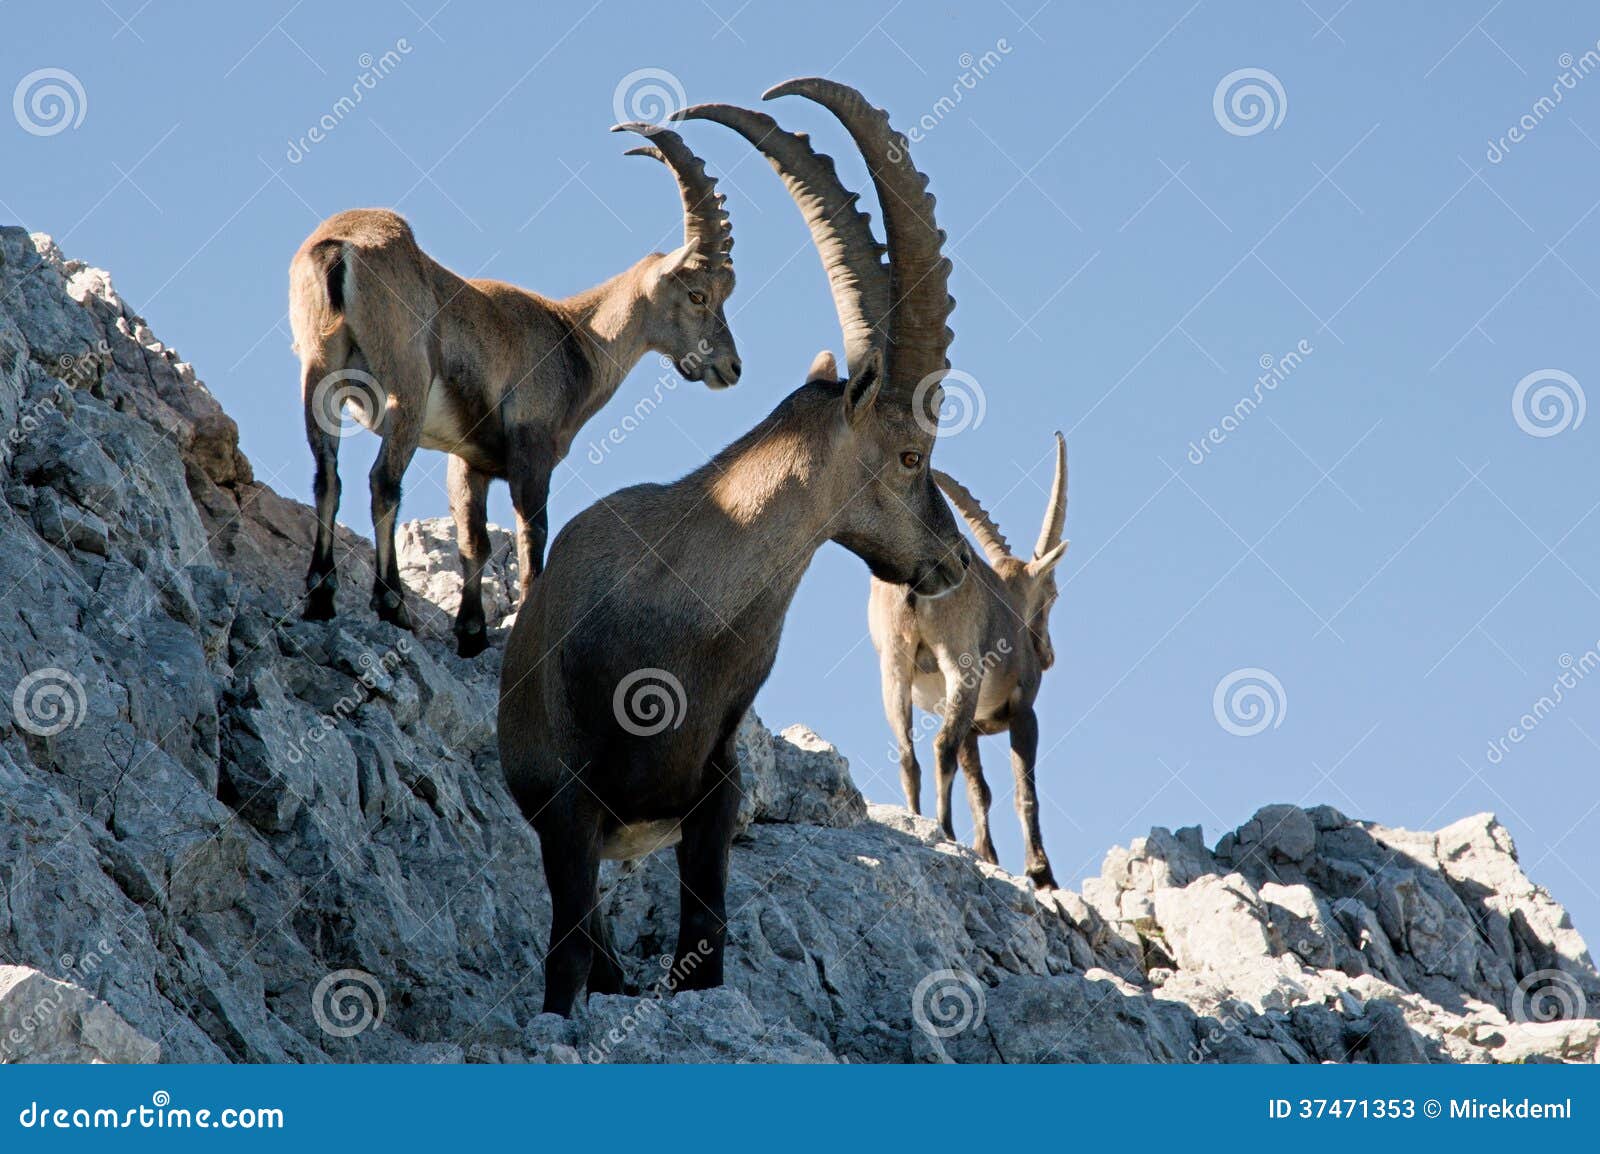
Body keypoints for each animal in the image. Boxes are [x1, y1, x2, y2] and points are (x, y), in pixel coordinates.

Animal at [289, 126, 741, 656]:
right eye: (698, 295)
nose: (731, 367)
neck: (576, 338)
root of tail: (341, 250)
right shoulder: (532, 448)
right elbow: (532, 536)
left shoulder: (471, 461)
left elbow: (474, 542)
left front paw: (471, 632)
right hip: (407, 388)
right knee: (383, 481)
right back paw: (392, 605)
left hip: (319, 373)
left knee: (327, 475)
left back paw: (321, 595)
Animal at [500, 79, 973, 1016]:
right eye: (912, 455)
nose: (957, 561)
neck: (690, 620)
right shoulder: (567, 806)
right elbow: (563, 964)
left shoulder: (715, 793)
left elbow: (705, 942)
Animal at [869, 434, 1069, 889]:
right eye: (1052, 596)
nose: (1047, 655)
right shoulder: (1022, 710)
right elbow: (1023, 790)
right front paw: (1040, 871)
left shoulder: (972, 725)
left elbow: (981, 791)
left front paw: (988, 855)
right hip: (959, 663)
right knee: (941, 745)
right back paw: (945, 830)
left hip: (895, 667)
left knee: (907, 753)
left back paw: (920, 822)